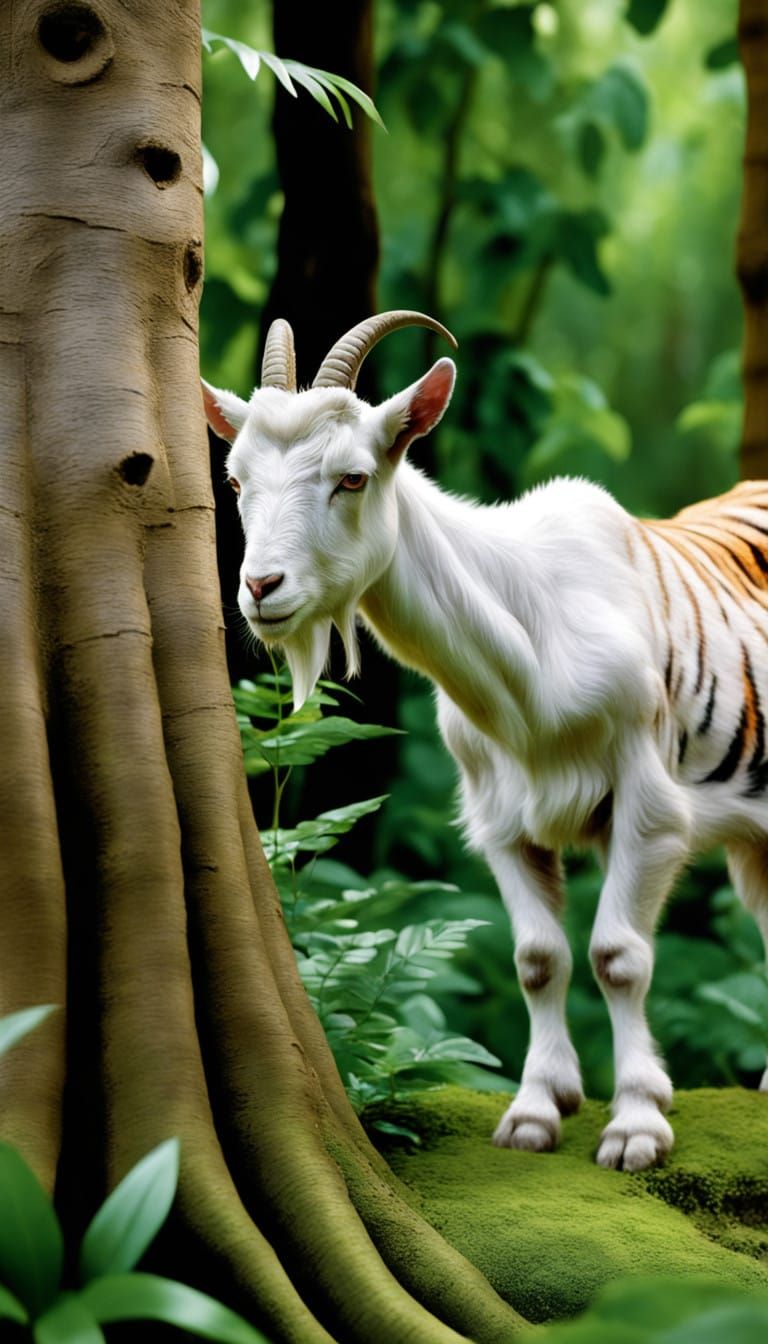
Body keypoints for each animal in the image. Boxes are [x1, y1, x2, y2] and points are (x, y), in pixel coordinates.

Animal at [203, 311, 768, 1171]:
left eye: (353, 478)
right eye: (236, 482)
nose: (261, 588)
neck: (534, 641)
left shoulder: (649, 809)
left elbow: (618, 956)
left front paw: (636, 1125)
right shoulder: (500, 815)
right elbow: (538, 960)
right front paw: (536, 1112)